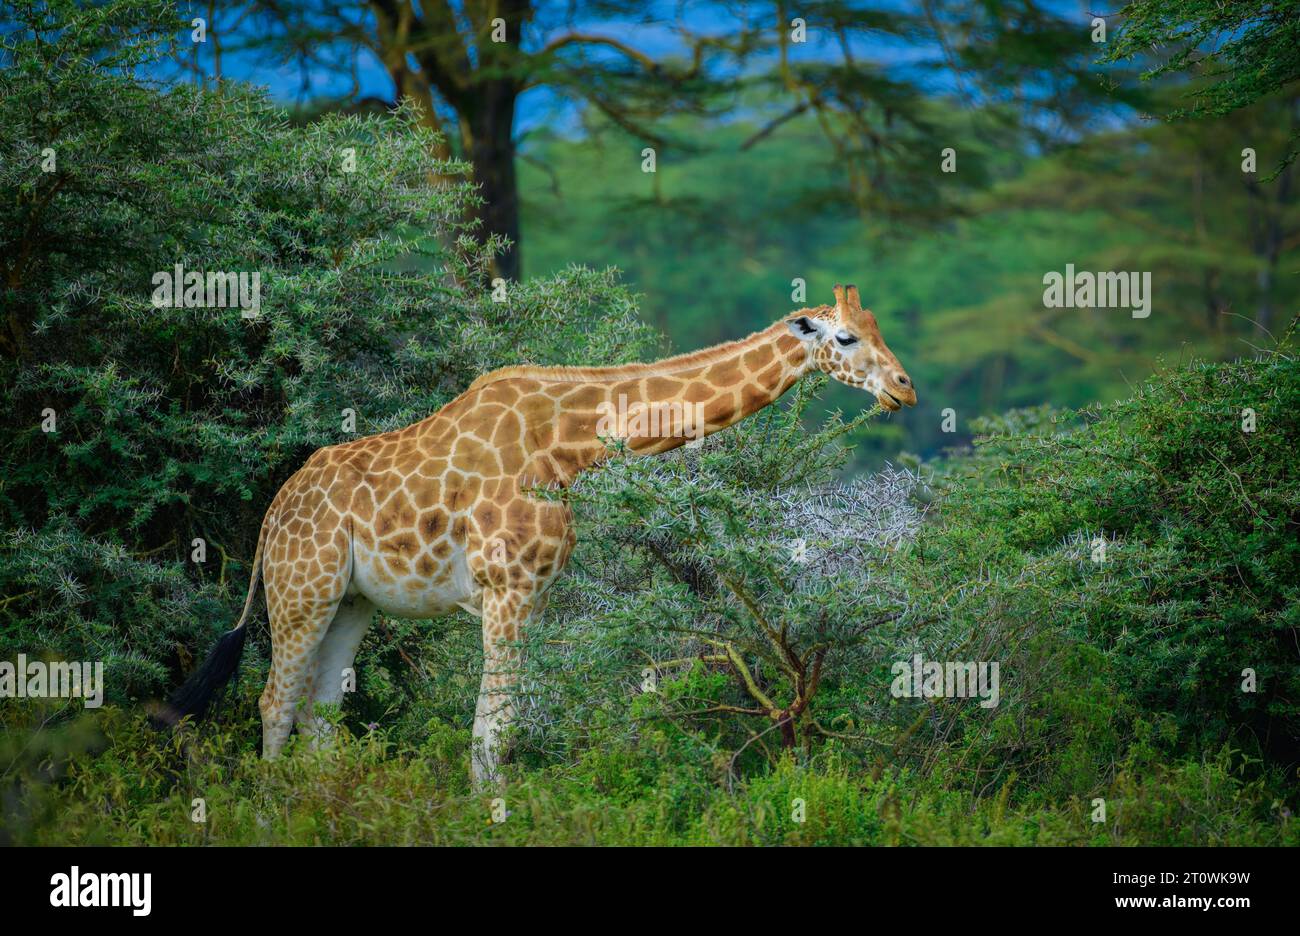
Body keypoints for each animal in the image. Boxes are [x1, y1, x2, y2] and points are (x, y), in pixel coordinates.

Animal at [163, 284, 916, 785]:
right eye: (845, 338)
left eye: (880, 327)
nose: (905, 389)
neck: (570, 441)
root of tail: (271, 516)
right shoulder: (507, 590)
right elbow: (492, 732)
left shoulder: (534, 596)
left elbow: (504, 726)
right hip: (303, 588)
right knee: (274, 701)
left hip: (354, 601)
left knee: (319, 712)